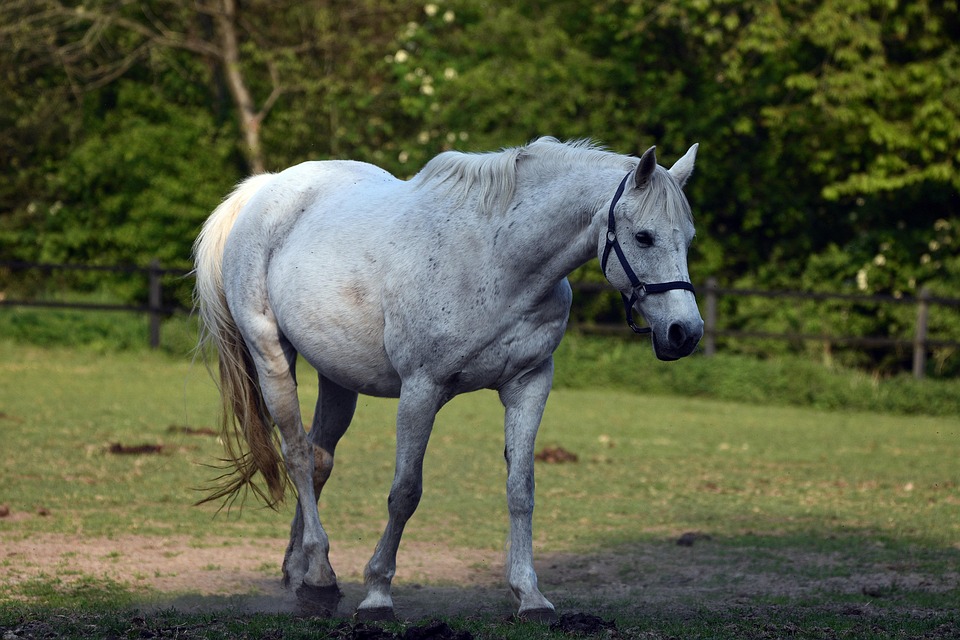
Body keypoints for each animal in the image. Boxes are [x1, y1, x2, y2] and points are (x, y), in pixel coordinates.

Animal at [192, 137, 703, 622]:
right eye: (643, 237)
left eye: (688, 238)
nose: (685, 332)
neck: (498, 261)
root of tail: (266, 189)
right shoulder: (422, 388)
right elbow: (405, 492)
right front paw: (377, 594)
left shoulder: (529, 383)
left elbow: (521, 489)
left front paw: (530, 596)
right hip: (271, 355)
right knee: (298, 454)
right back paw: (318, 575)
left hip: (338, 376)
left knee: (319, 460)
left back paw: (302, 574)